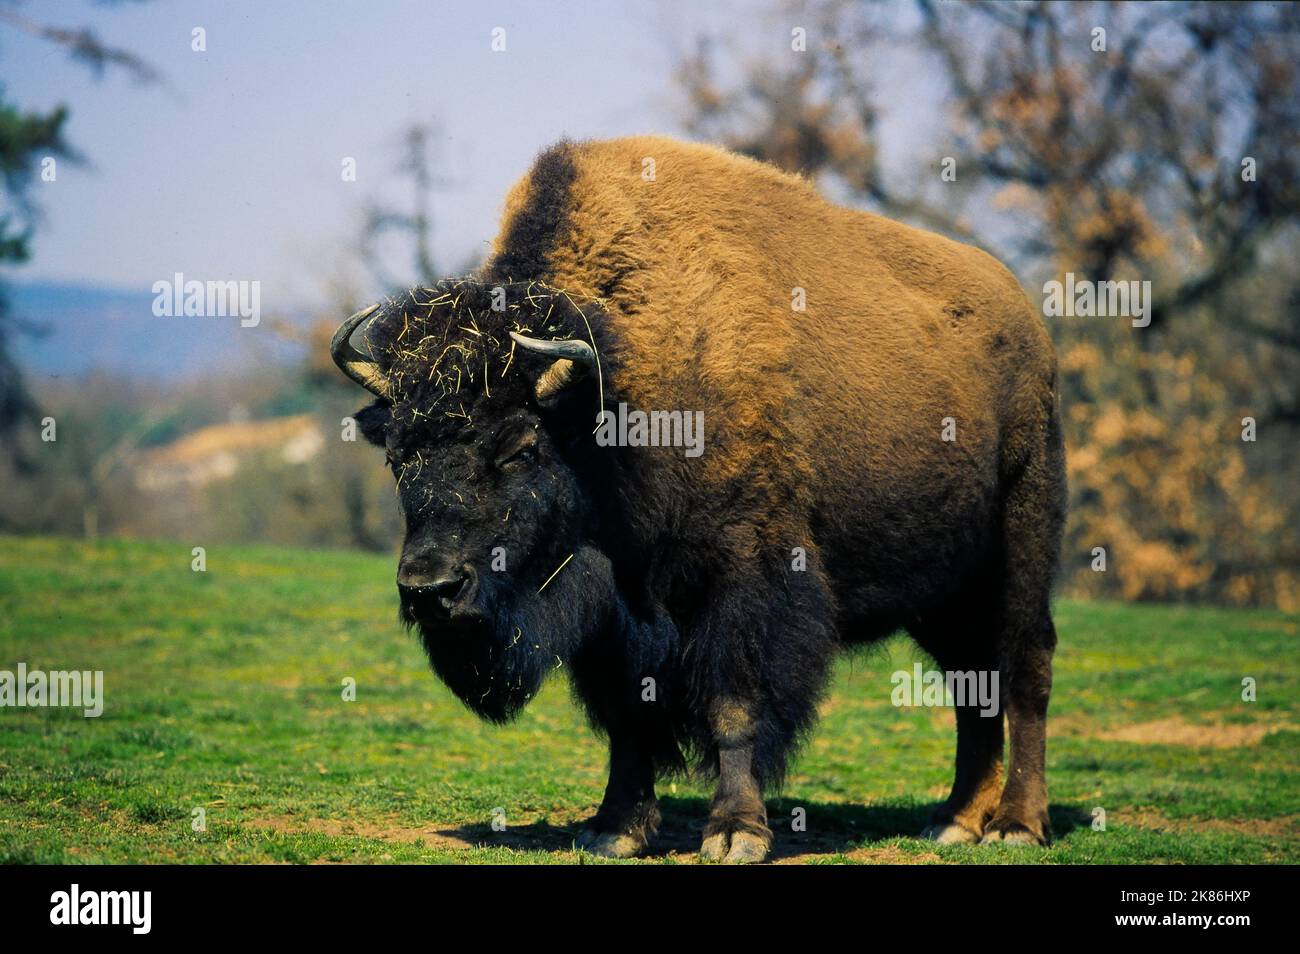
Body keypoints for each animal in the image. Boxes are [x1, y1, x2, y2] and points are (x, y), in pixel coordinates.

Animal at [331, 136, 1065, 862]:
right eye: (396, 455)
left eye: (519, 447)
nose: (430, 591)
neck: (616, 399)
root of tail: (1028, 322)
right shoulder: (614, 613)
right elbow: (627, 717)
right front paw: (613, 829)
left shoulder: (742, 583)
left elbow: (734, 707)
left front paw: (735, 833)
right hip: (940, 592)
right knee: (971, 683)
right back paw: (955, 820)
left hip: (1019, 548)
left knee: (1024, 669)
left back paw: (1015, 824)